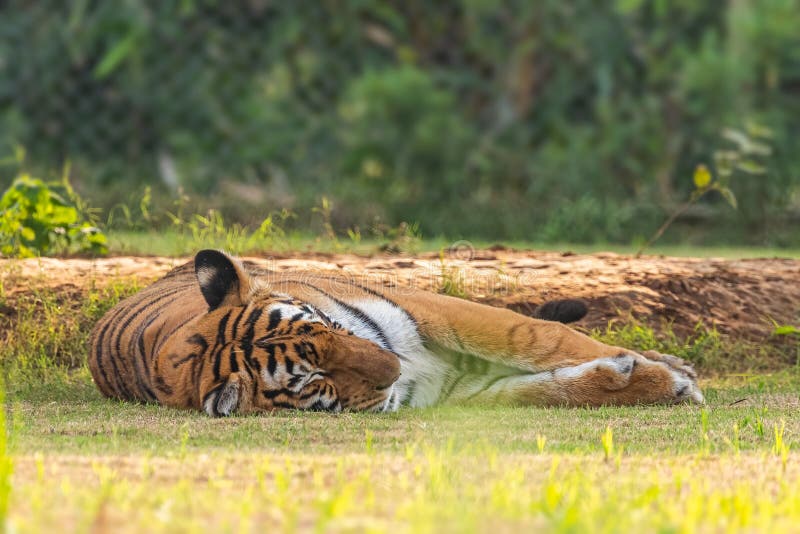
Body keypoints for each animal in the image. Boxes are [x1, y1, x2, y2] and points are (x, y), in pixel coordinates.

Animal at [89, 249, 703, 416]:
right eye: (310, 381)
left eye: (324, 326)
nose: (395, 368)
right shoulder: (454, 389)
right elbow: (542, 390)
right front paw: (665, 383)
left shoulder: (432, 309)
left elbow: (537, 340)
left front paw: (674, 374)